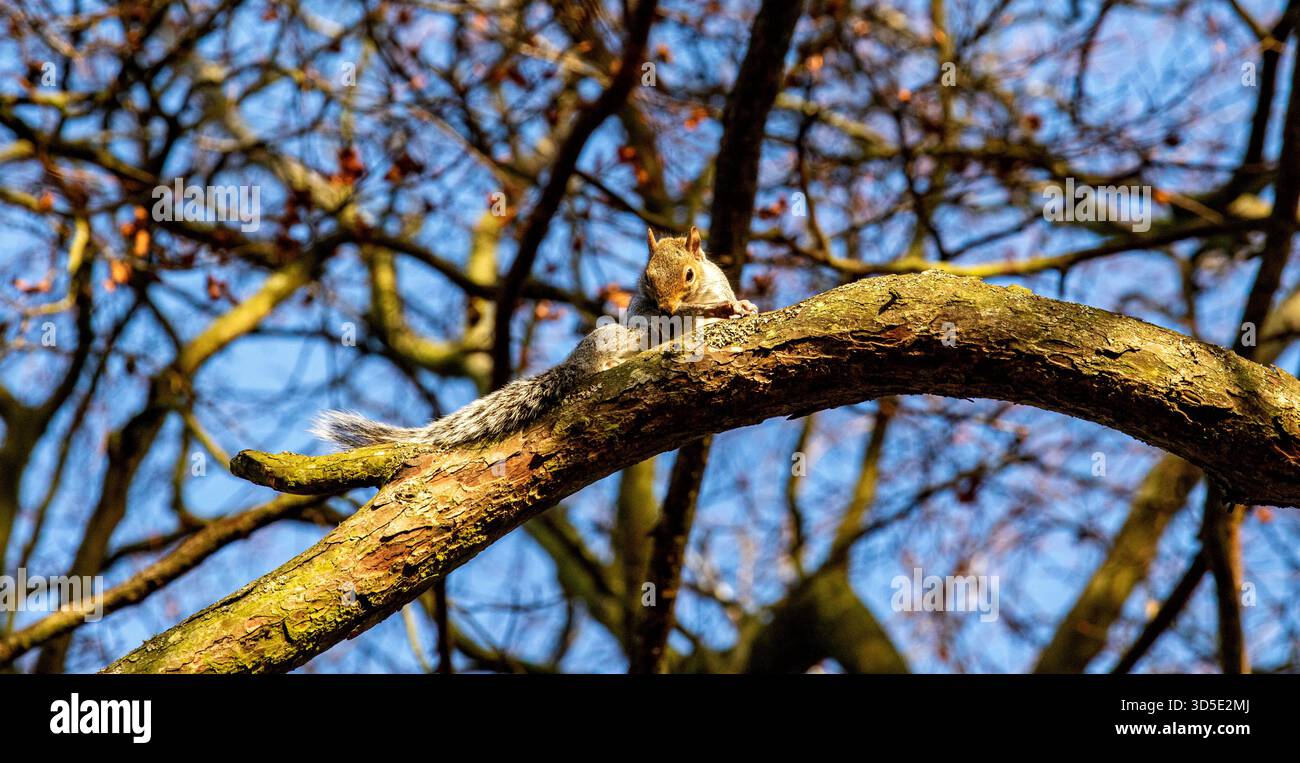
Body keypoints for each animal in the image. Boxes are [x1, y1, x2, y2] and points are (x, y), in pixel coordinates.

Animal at [311, 226, 757, 449]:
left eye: (689, 274)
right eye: (646, 279)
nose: (664, 306)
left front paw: (738, 307)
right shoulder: (647, 316)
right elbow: (675, 319)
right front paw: (714, 311)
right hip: (608, 337)